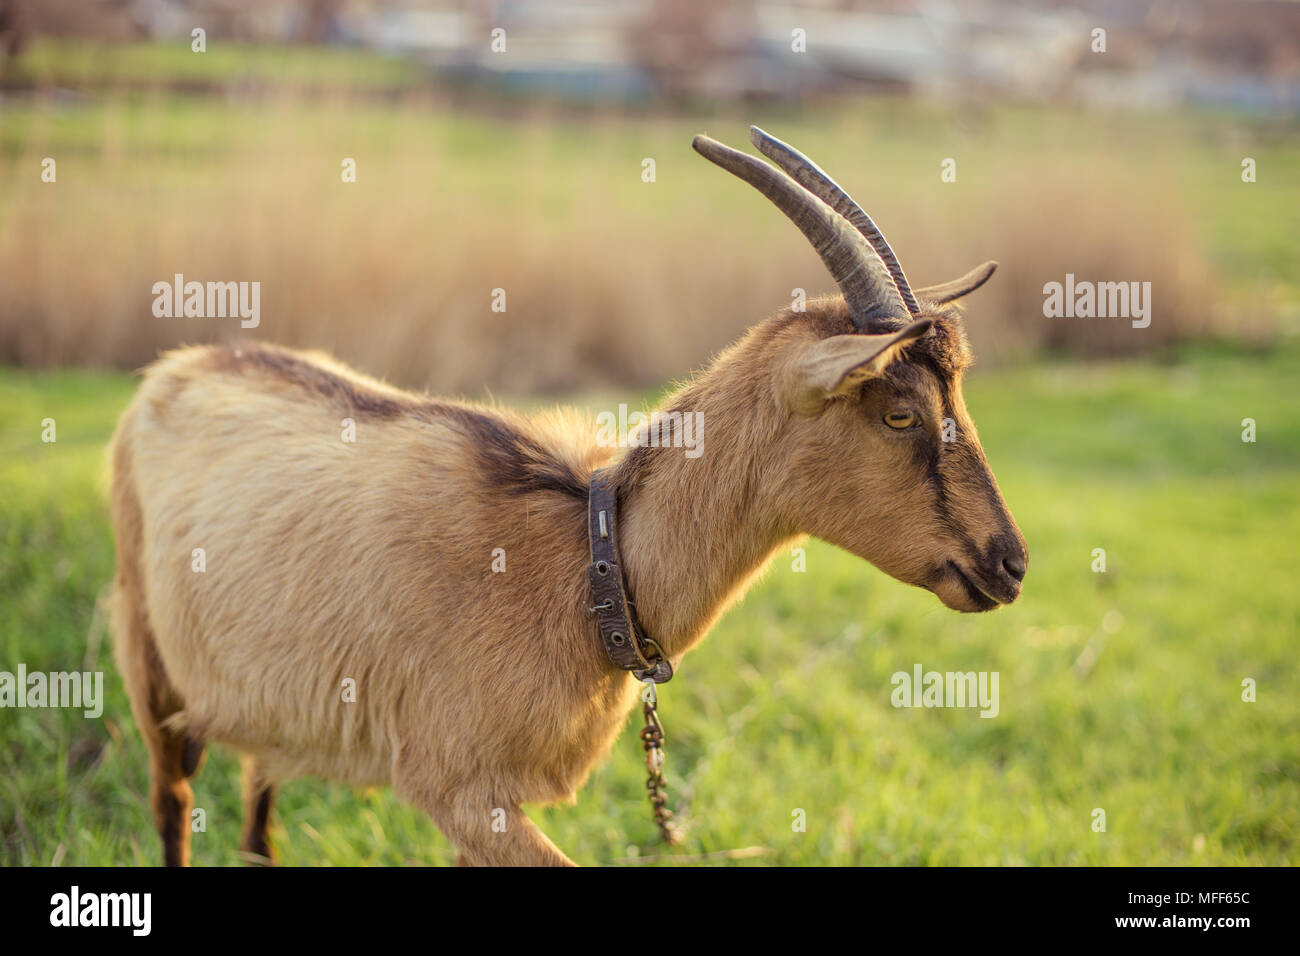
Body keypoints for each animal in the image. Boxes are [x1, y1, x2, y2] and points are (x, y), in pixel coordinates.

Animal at [108, 127, 1027, 867]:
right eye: (901, 412)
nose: (1009, 564)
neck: (587, 560)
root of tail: (173, 370)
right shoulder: (457, 787)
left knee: (256, 811)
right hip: (148, 661)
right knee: (172, 801)